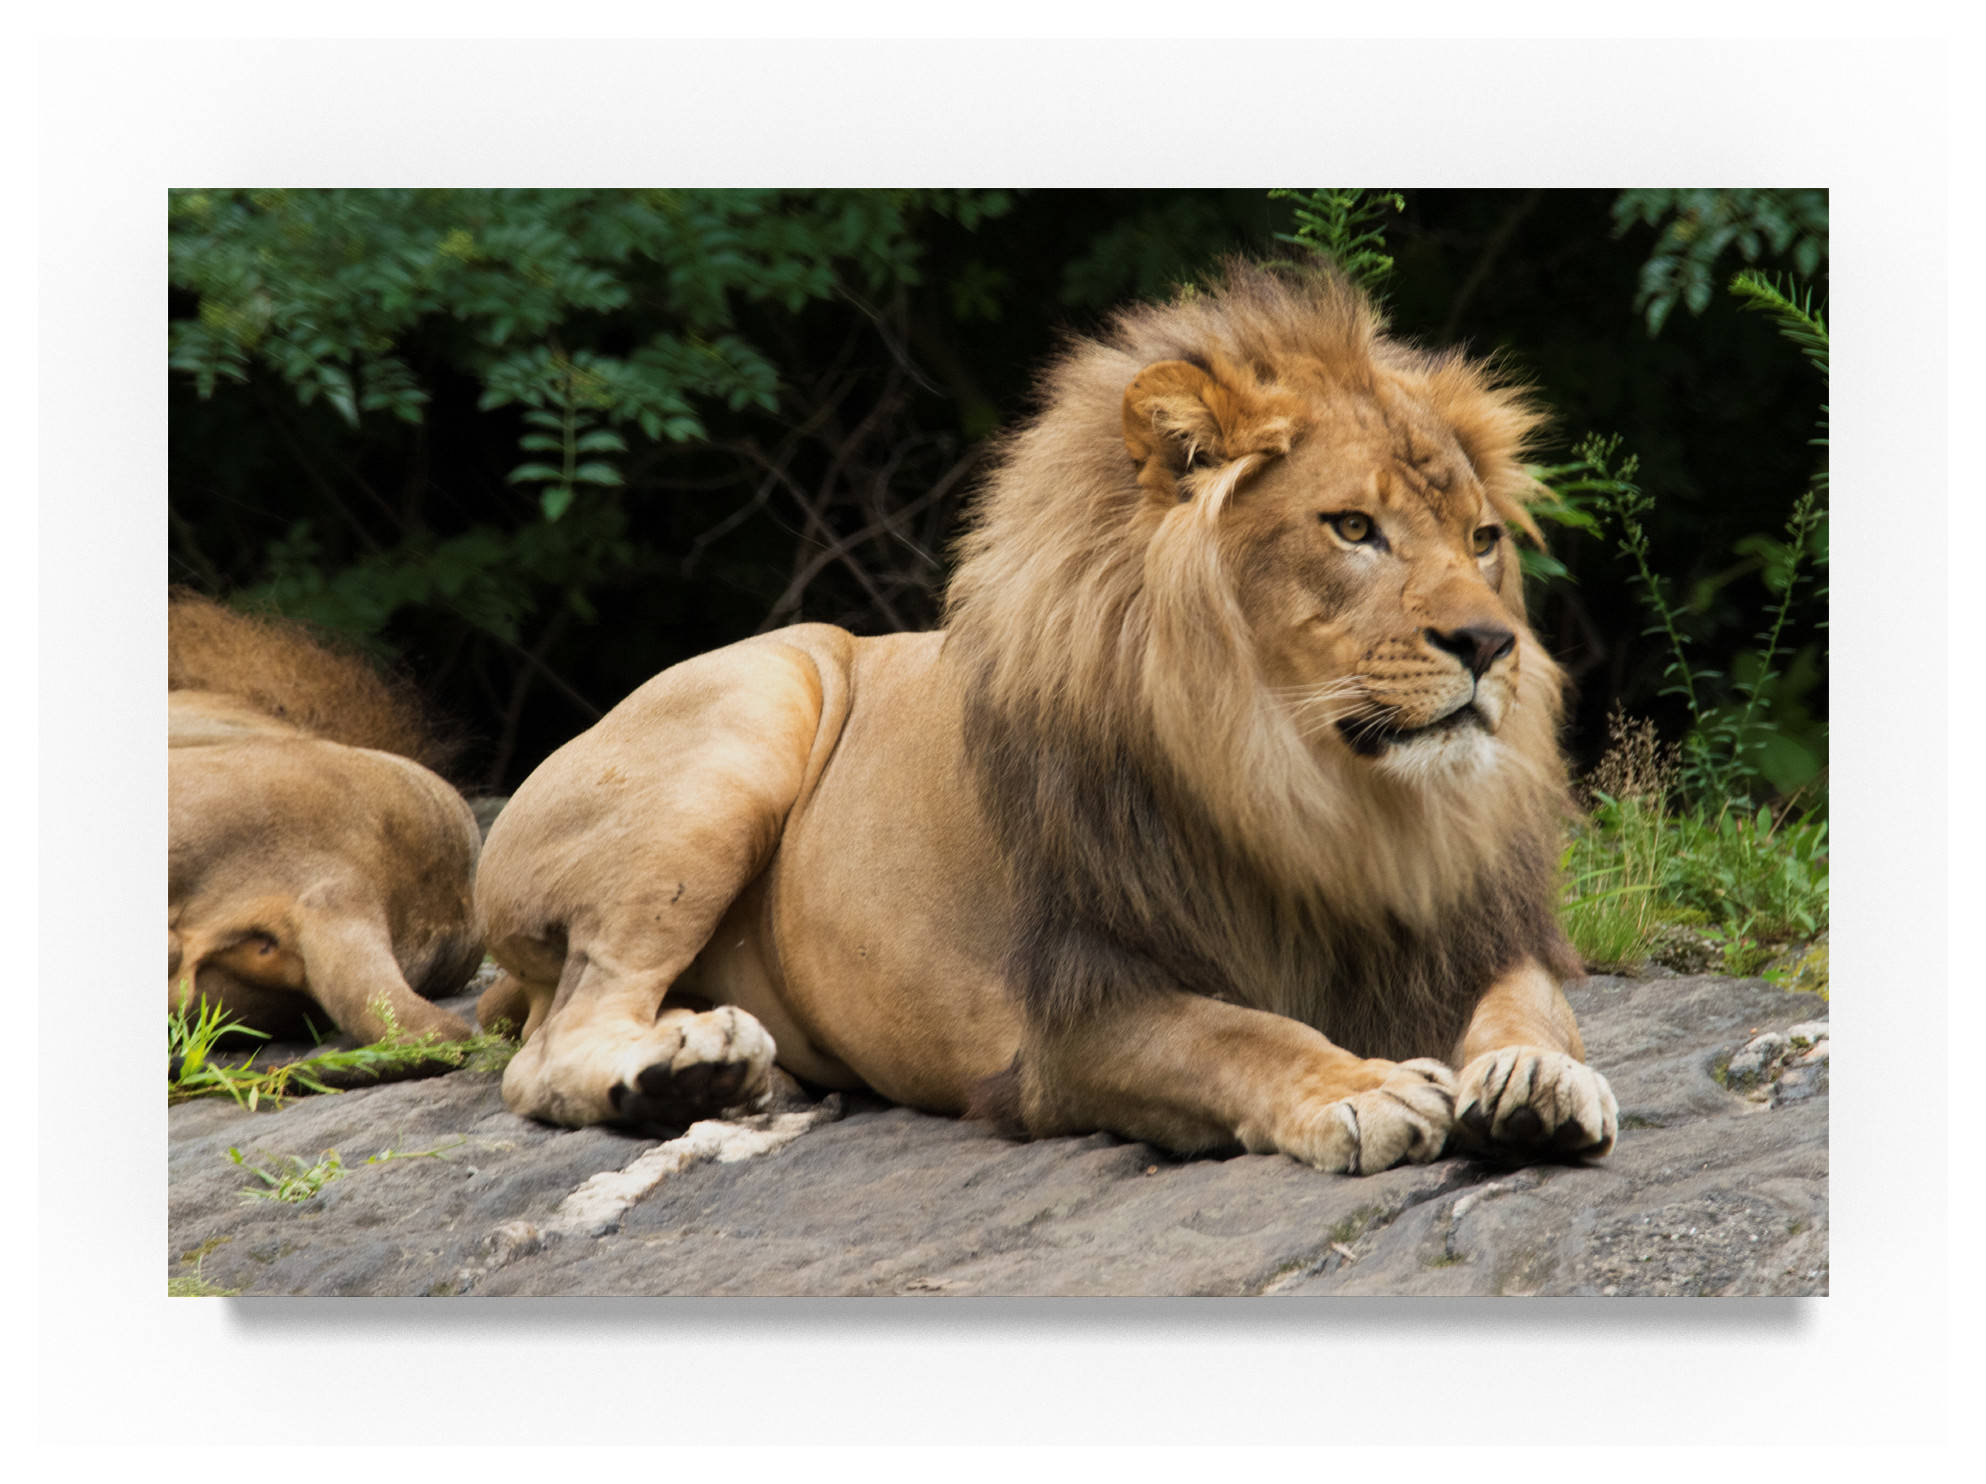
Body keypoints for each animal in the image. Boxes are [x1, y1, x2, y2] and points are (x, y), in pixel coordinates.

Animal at [474, 263, 1617, 1172]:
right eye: (1351, 528)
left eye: (1480, 540)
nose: (1492, 646)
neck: (1323, 797)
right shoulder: (1076, 1017)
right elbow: (1241, 1035)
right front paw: (1362, 1088)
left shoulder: (1475, 925)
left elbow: (1532, 1004)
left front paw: (1536, 1079)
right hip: (753, 712)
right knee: (550, 1046)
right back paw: (682, 1073)